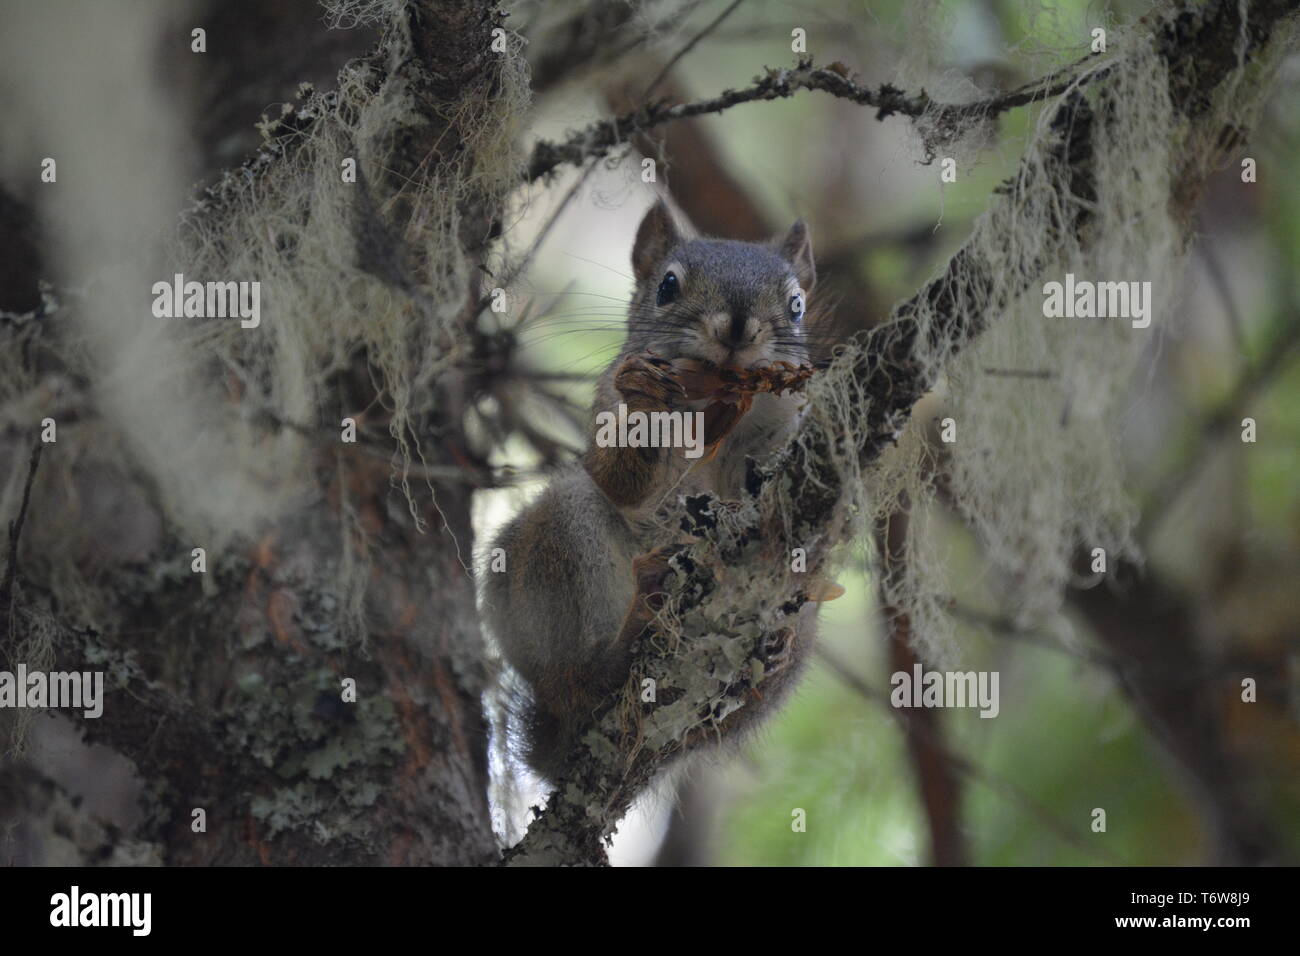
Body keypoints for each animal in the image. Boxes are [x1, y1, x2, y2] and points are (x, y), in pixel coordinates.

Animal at [483, 200, 819, 784]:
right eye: (667, 286)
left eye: (796, 305)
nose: (737, 328)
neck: (713, 408)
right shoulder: (606, 407)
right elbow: (619, 478)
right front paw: (645, 397)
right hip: (558, 544)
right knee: (582, 686)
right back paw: (625, 637)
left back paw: (770, 647)